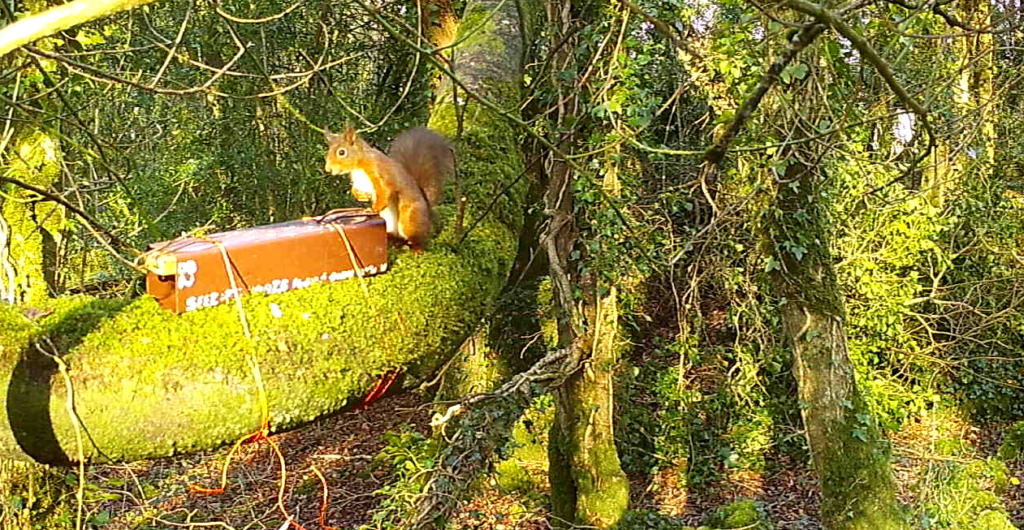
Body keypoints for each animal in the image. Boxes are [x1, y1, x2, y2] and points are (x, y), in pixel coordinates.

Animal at [324, 126, 454, 254]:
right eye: (328, 152)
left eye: (341, 152)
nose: (328, 169)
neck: (358, 165)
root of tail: (428, 211)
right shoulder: (358, 181)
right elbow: (355, 190)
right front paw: (361, 196)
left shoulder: (379, 171)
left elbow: (385, 190)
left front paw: (373, 209)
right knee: (398, 238)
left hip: (409, 219)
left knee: (419, 238)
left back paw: (417, 249)